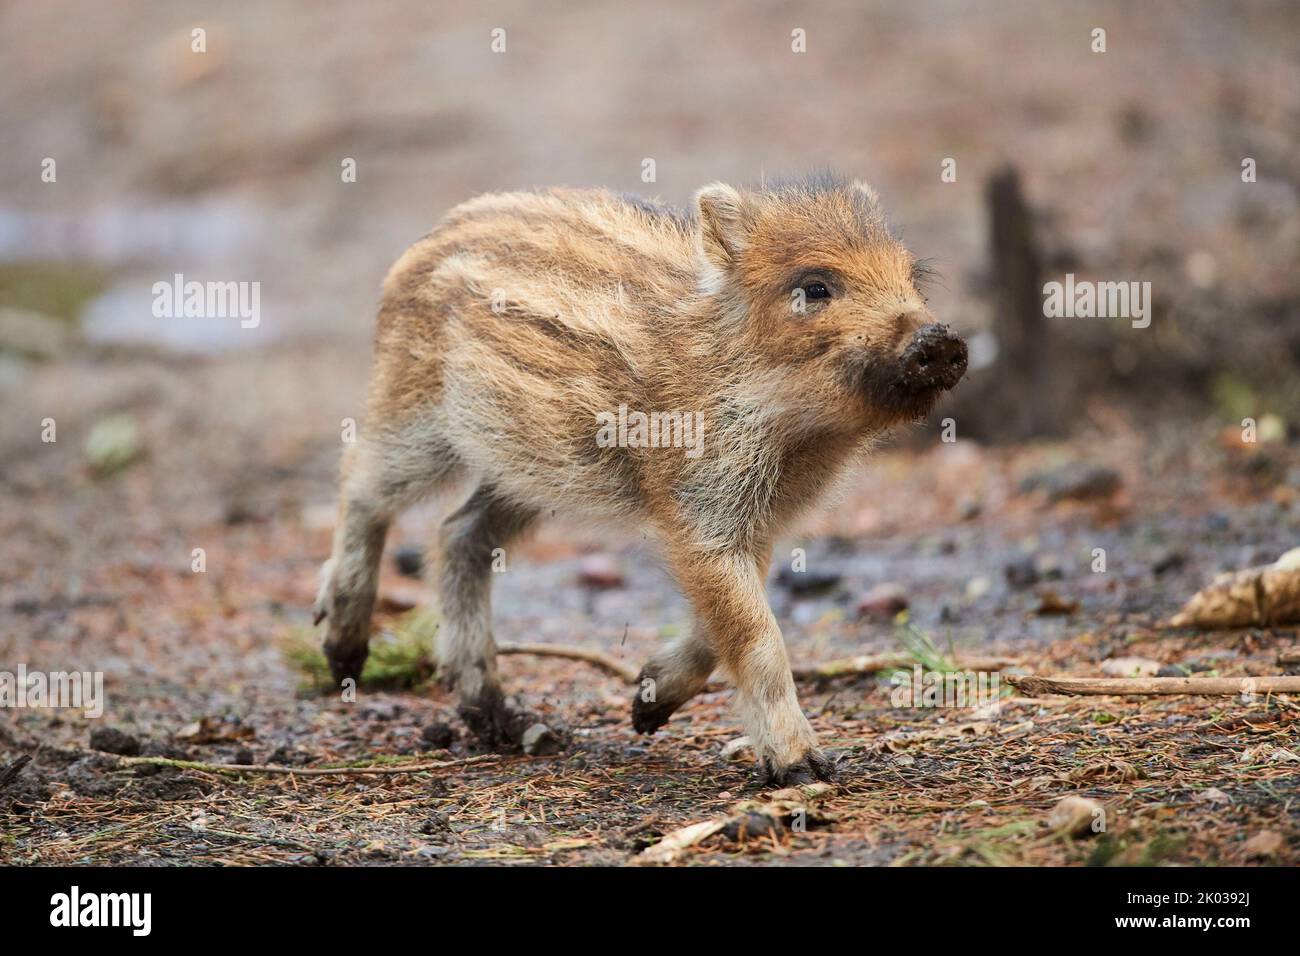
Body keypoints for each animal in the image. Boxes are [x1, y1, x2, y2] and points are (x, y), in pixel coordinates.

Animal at [314, 172, 967, 784]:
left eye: (912, 278)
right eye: (814, 287)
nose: (941, 339)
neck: (793, 425)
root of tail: (425, 242)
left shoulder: (756, 518)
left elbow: (725, 620)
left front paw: (645, 707)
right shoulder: (703, 503)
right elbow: (756, 633)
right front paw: (801, 768)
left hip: (529, 466)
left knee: (459, 534)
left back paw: (507, 723)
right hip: (418, 419)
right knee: (360, 482)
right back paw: (344, 653)